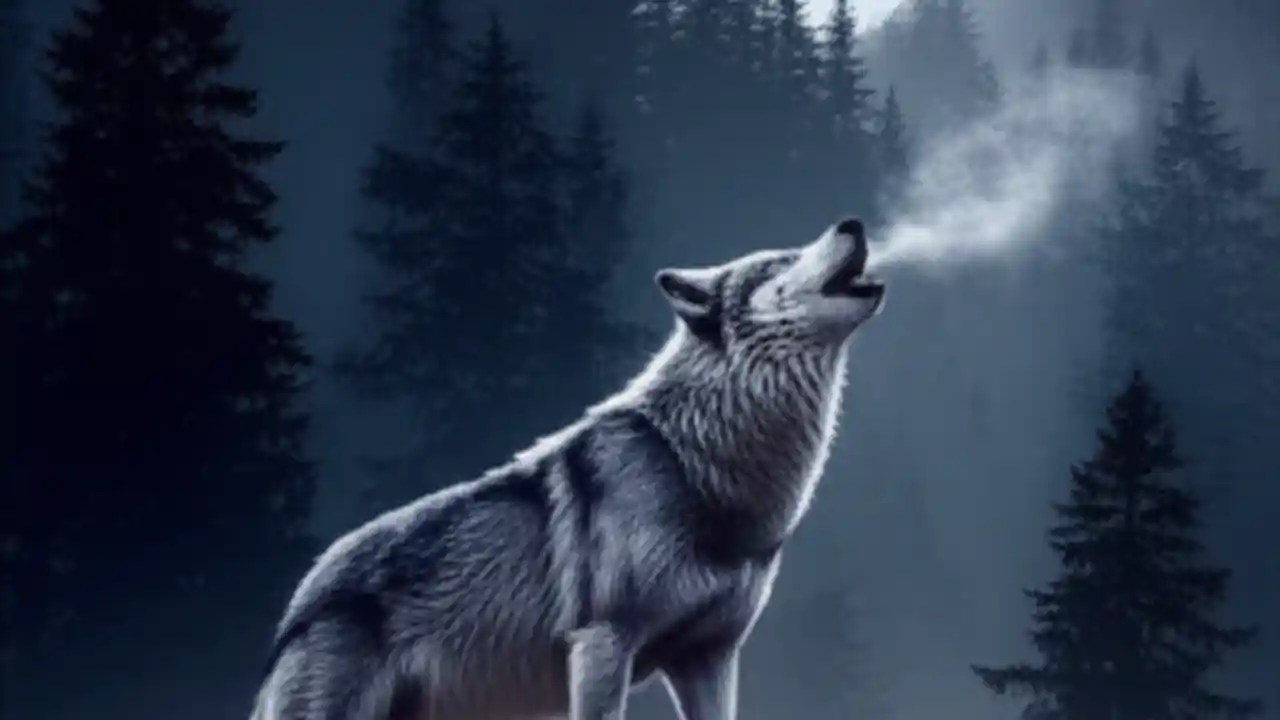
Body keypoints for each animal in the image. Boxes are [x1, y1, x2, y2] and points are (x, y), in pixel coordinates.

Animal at [250, 218, 887, 720]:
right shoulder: (603, 643)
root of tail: (293, 607)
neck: (694, 458)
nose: (853, 222)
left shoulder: (710, 657)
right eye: (781, 261)